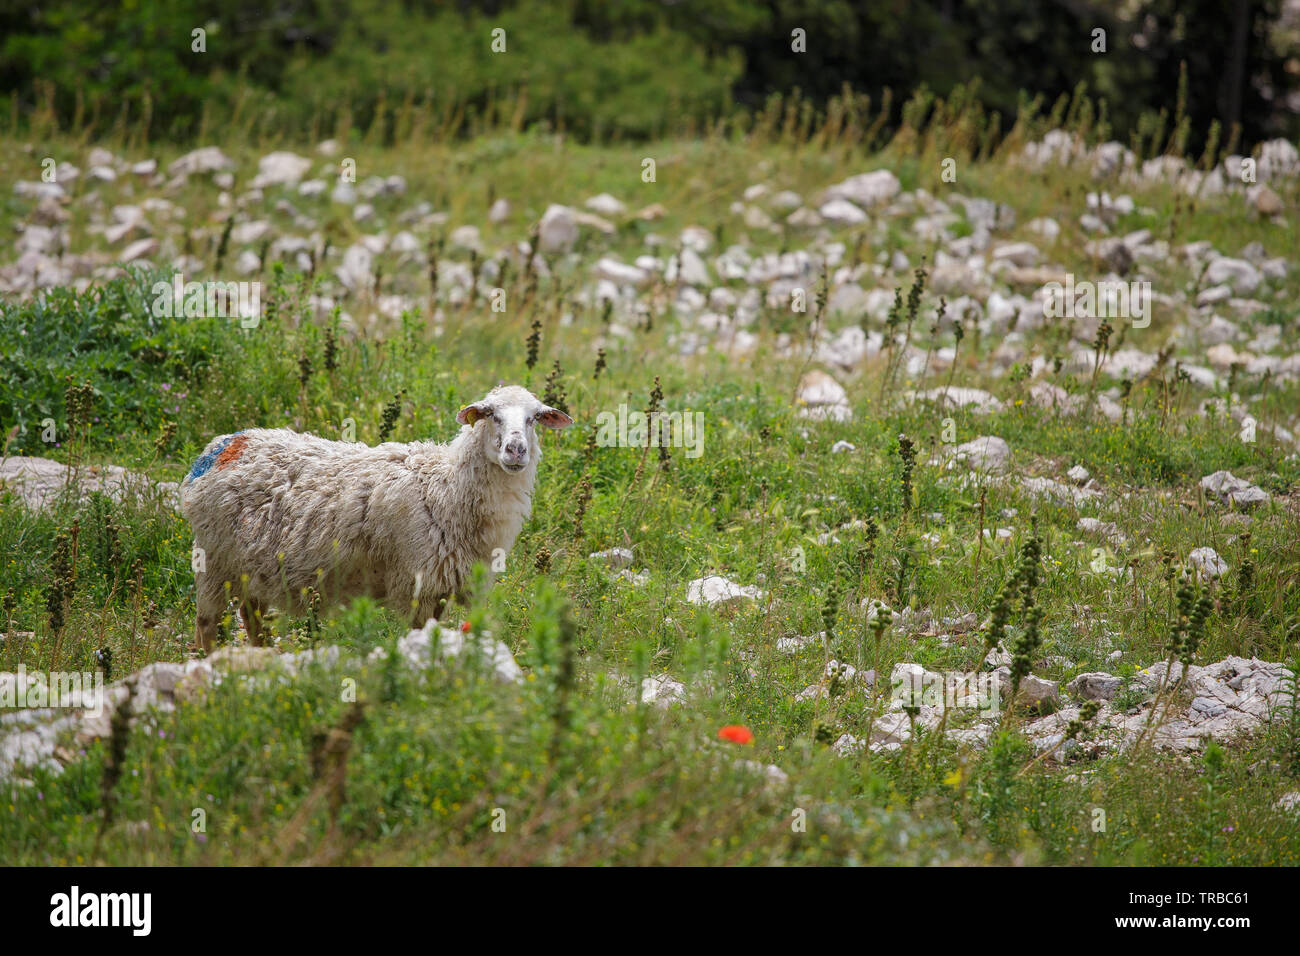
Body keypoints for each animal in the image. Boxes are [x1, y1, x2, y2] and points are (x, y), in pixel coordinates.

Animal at [179, 385, 573, 651]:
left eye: (534, 418)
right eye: (491, 414)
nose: (516, 450)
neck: (445, 489)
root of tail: (220, 448)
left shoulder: (446, 587)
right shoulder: (417, 585)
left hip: (251, 569)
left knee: (253, 620)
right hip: (214, 559)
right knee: (206, 624)